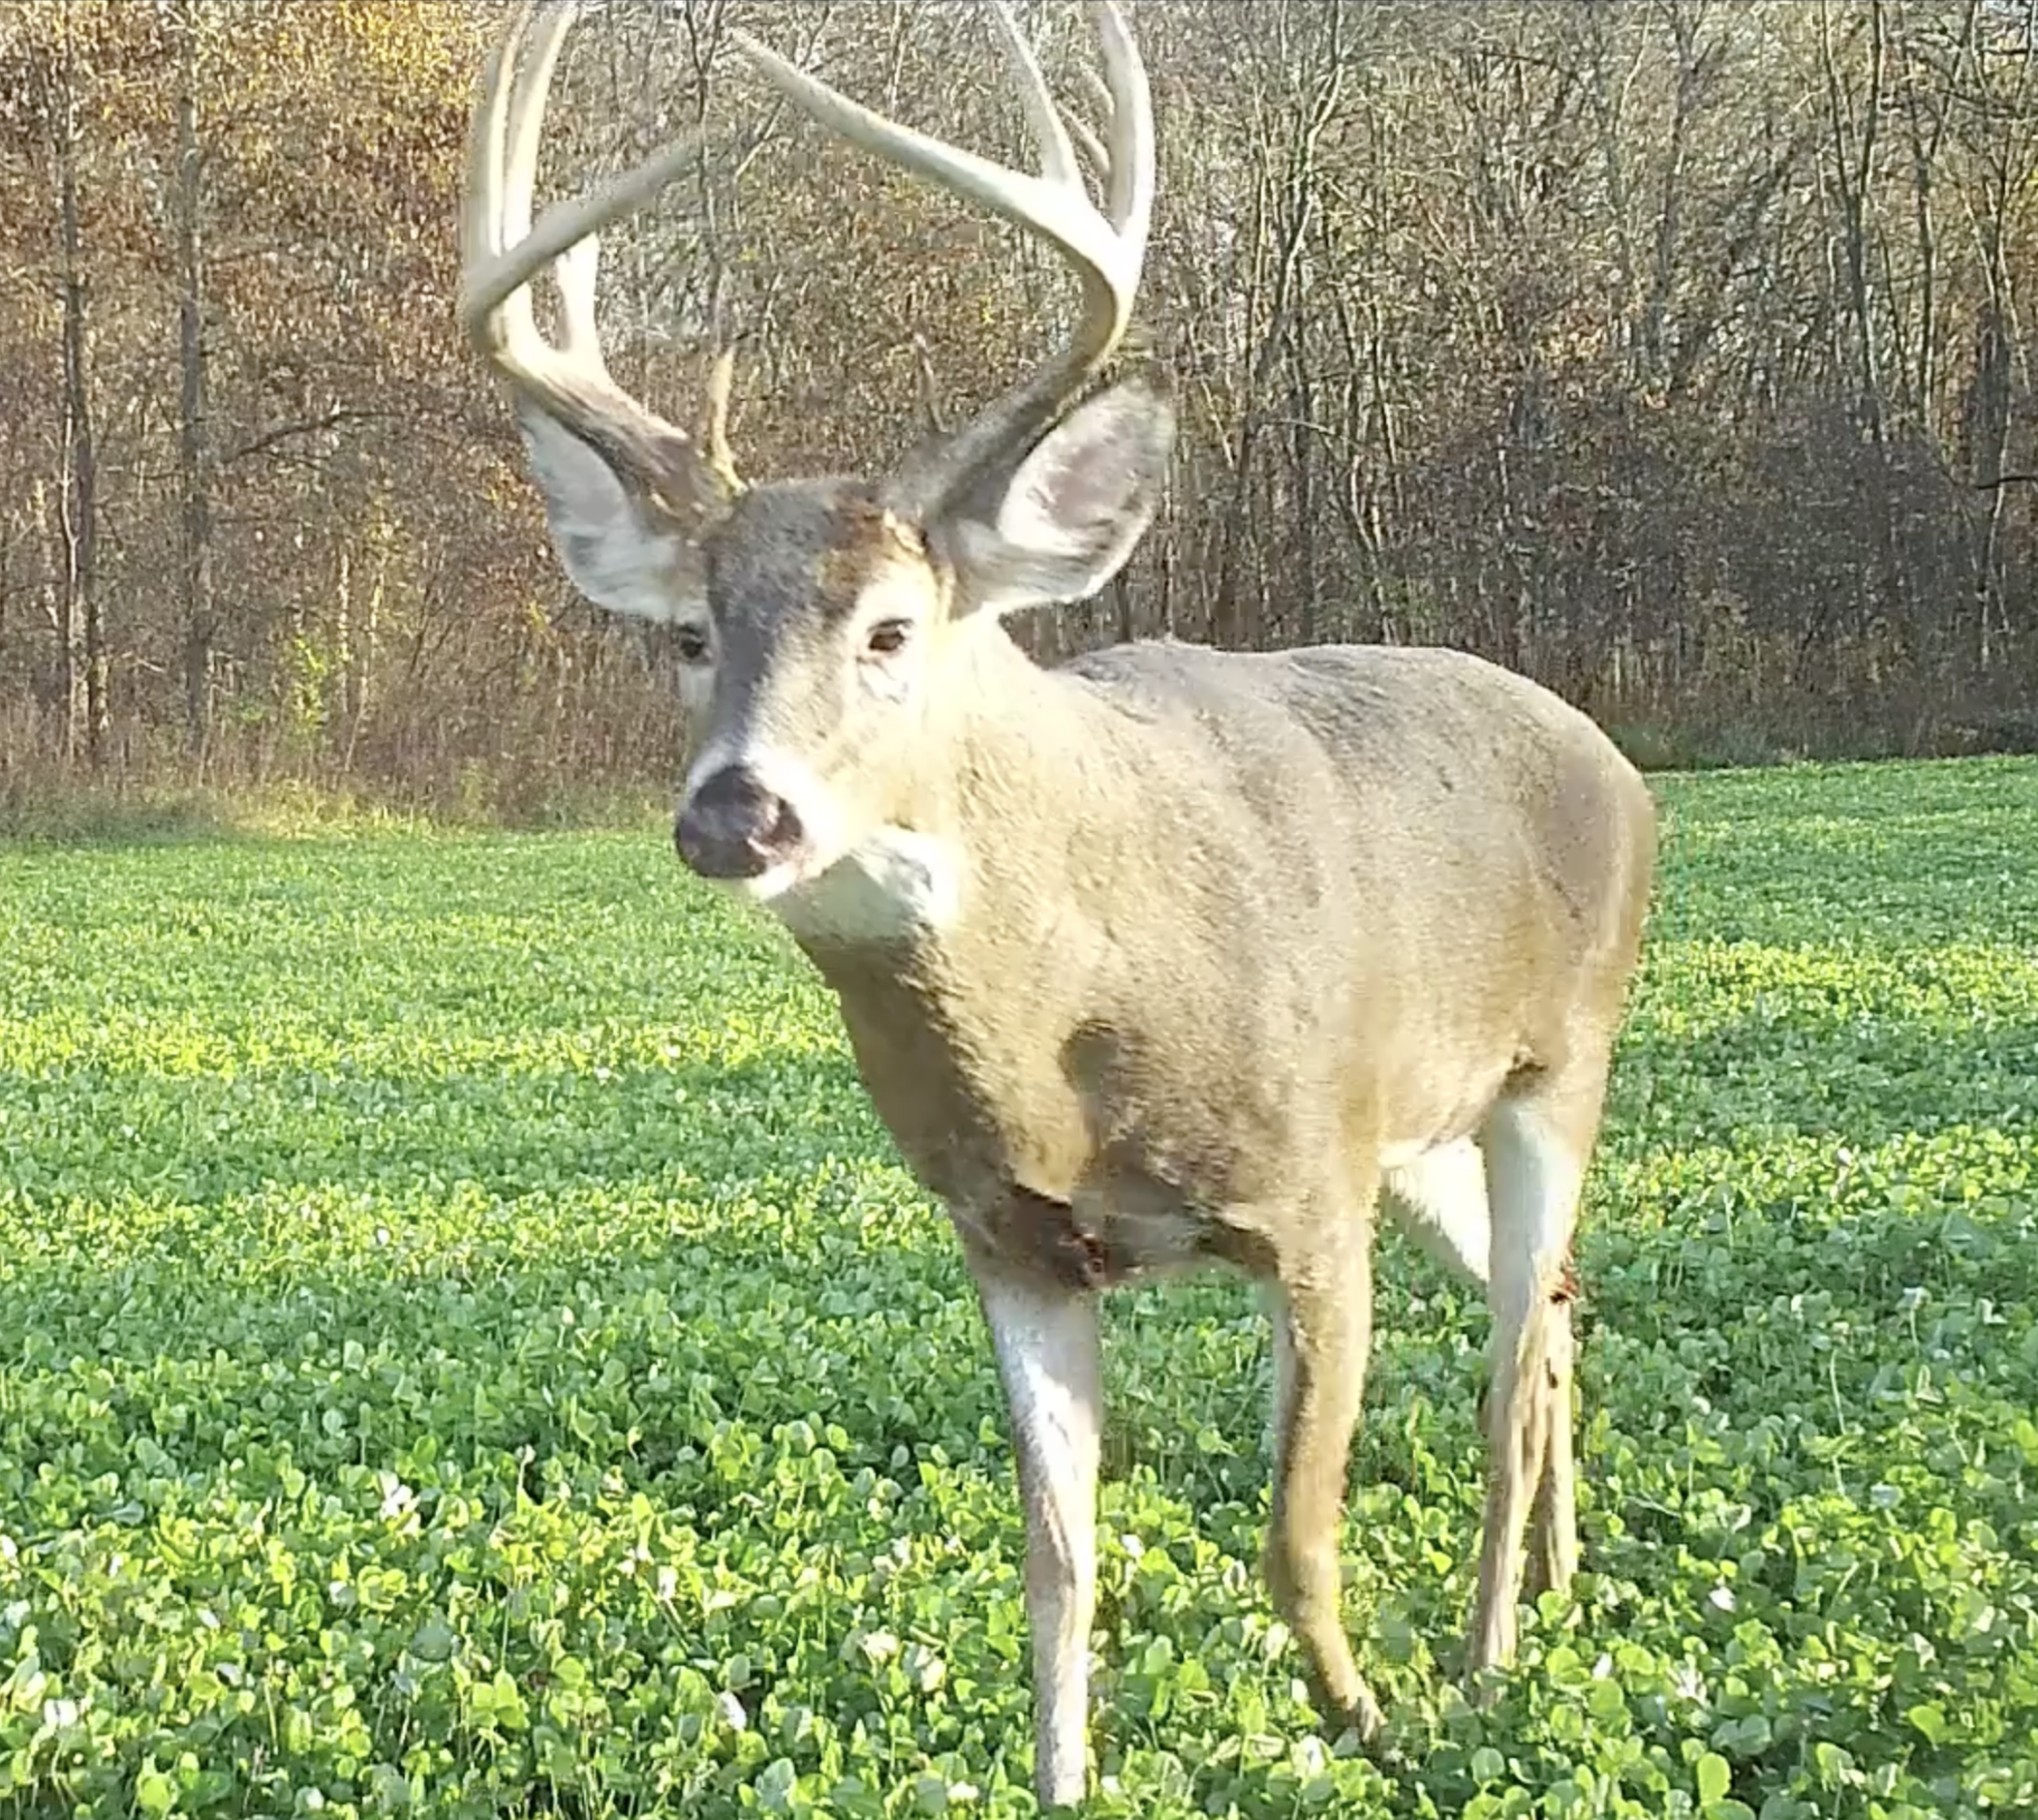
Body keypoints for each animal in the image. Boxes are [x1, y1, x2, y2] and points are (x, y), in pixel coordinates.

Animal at [457, 1, 1658, 1806]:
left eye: (891, 627)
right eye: (685, 634)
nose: (736, 810)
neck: (1073, 1029)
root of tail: (1612, 753)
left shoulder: (1313, 1188)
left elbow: (1292, 1532)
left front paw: (1365, 1719)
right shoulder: (1010, 1237)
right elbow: (1057, 1558)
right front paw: (1061, 1773)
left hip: (1552, 1066)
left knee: (1512, 1367)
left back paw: (1488, 1651)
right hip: (1433, 1132)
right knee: (1563, 1315)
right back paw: (1561, 1583)